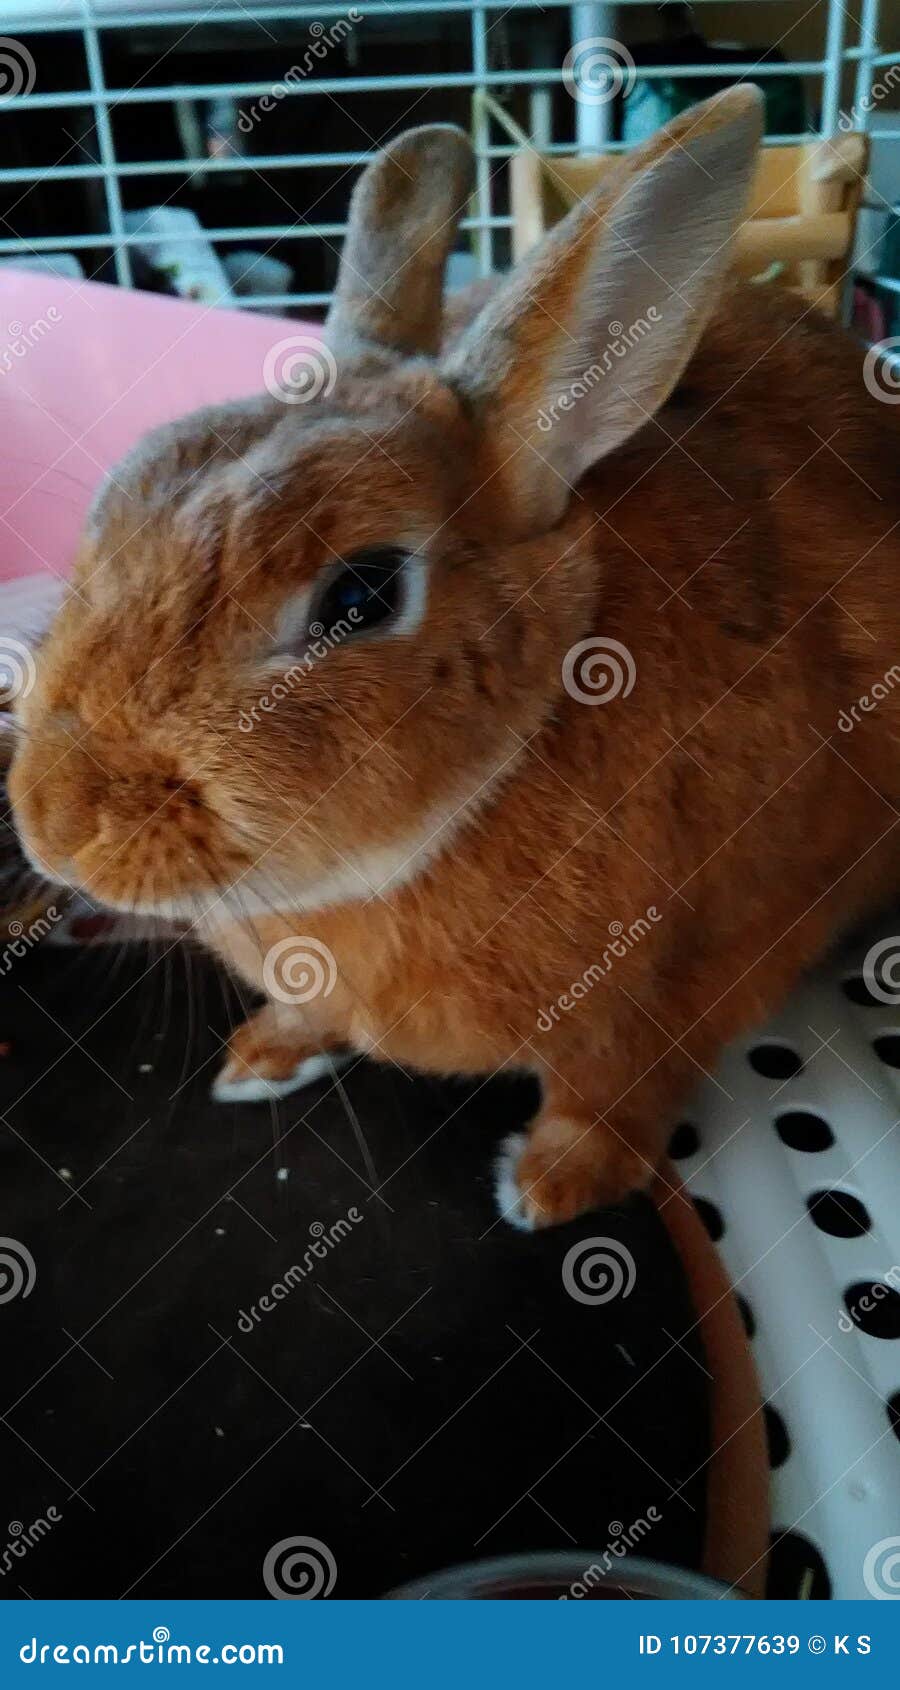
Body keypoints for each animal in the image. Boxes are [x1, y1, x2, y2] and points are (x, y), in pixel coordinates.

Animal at [9, 87, 900, 1228]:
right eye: (114, 508)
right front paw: (259, 1061)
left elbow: (617, 1084)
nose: (54, 824)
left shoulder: (694, 972)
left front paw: (551, 1184)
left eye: (360, 596)